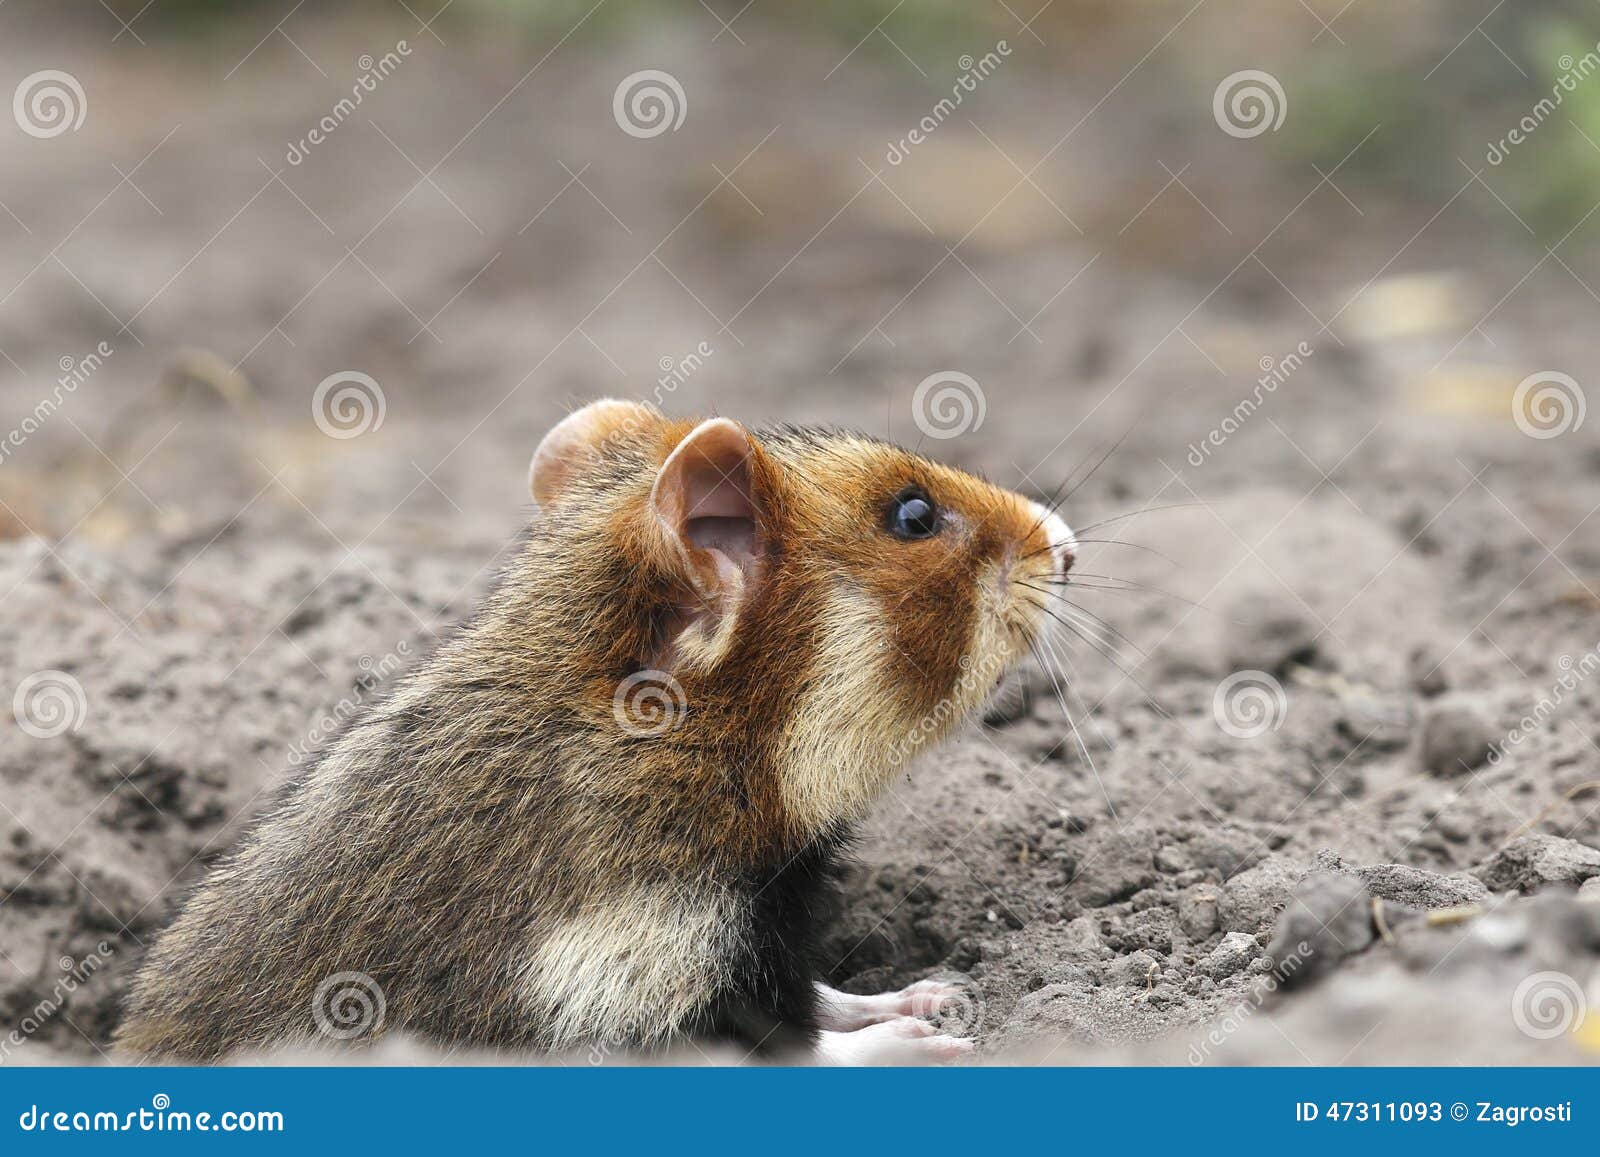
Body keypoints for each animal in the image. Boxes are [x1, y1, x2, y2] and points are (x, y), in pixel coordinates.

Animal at [115, 399, 1076, 1064]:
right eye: (913, 514)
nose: (1066, 542)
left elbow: (812, 991)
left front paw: (916, 998)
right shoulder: (634, 983)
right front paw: (912, 1042)